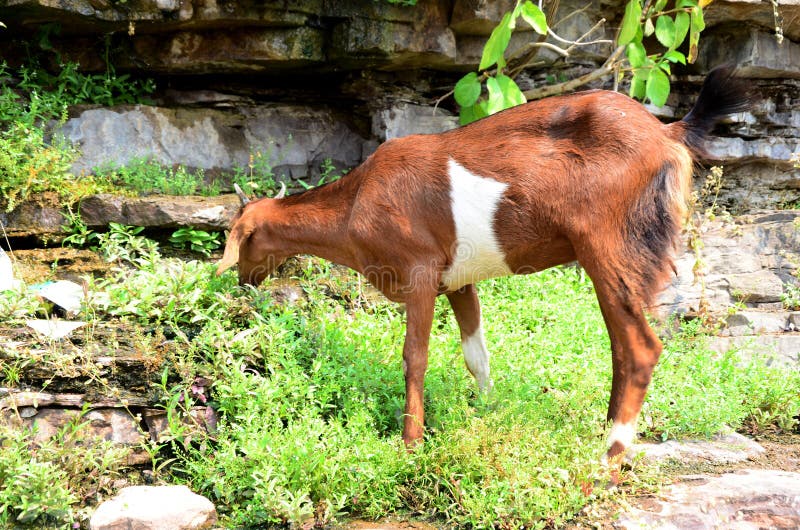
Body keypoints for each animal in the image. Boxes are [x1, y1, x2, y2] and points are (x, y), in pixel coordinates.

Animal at [217, 65, 751, 463]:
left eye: (242, 240)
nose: (244, 279)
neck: (355, 204)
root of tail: (666, 131)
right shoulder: (457, 281)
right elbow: (477, 354)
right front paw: (488, 412)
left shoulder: (418, 274)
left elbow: (414, 357)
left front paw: (410, 444)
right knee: (623, 347)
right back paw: (605, 432)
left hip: (609, 245)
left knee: (639, 347)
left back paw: (609, 459)